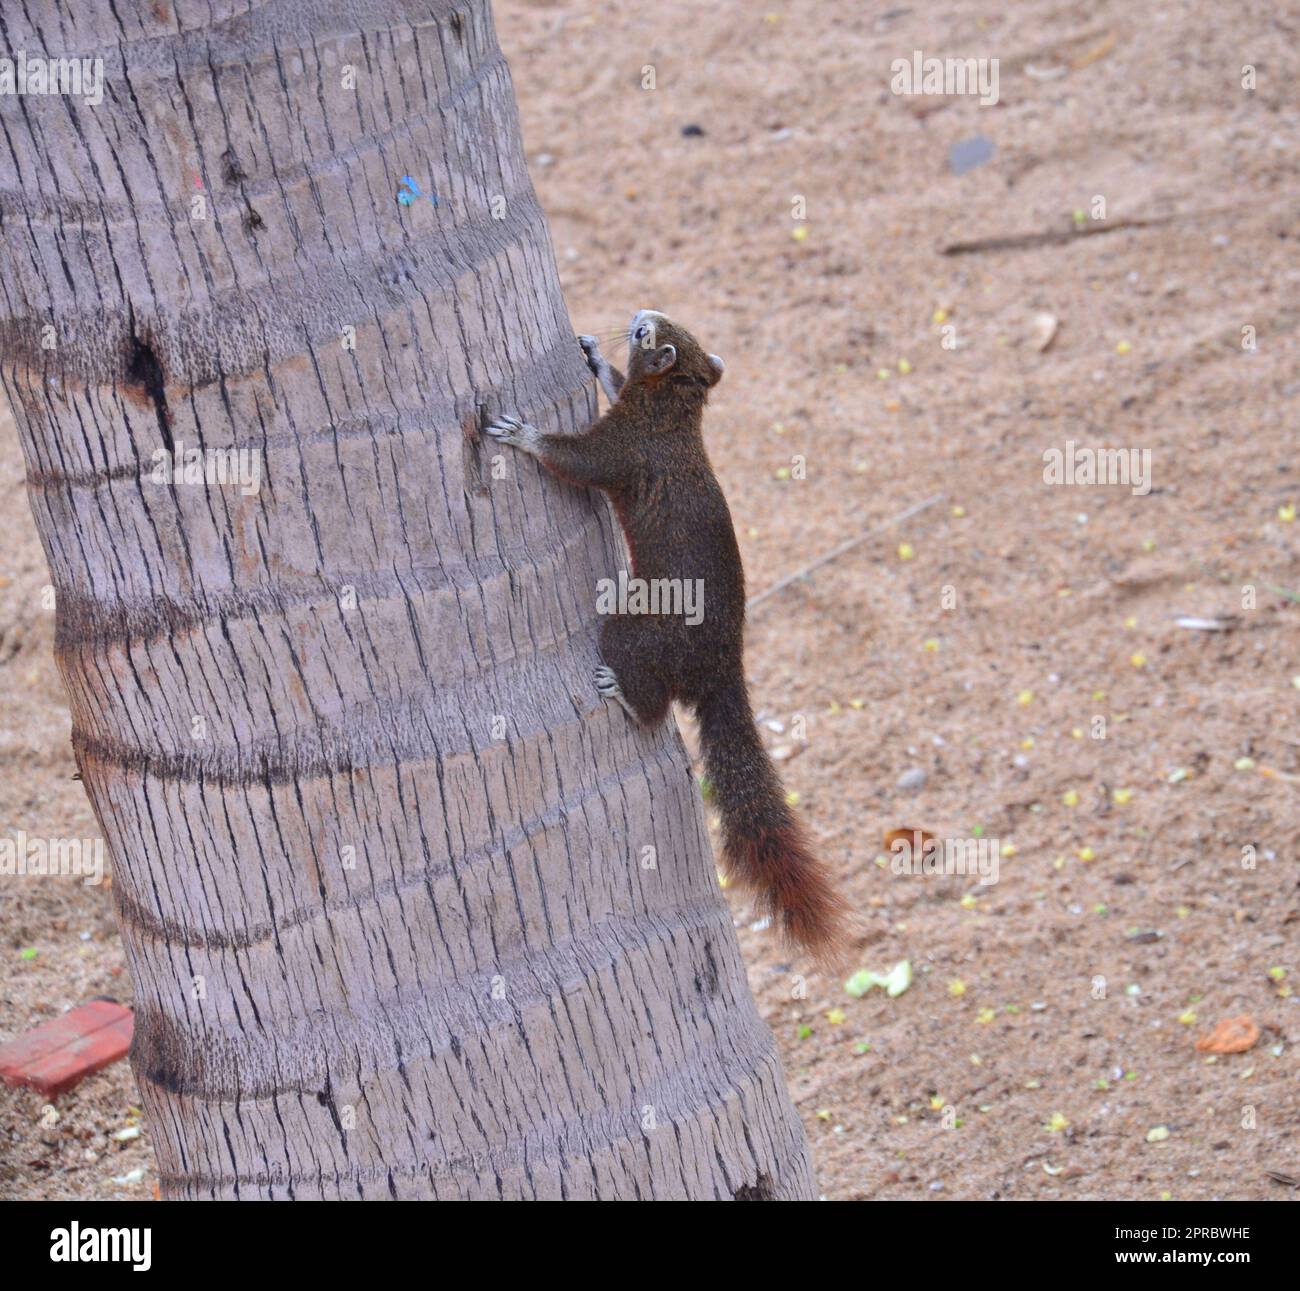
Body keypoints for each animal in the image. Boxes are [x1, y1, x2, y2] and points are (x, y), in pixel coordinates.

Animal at [486, 310, 849, 962]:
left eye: (647, 337)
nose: (639, 316)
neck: (673, 409)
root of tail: (722, 666)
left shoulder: (624, 449)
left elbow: (575, 460)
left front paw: (523, 434)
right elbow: (609, 387)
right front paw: (590, 356)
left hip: (636, 635)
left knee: (653, 703)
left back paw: (625, 696)